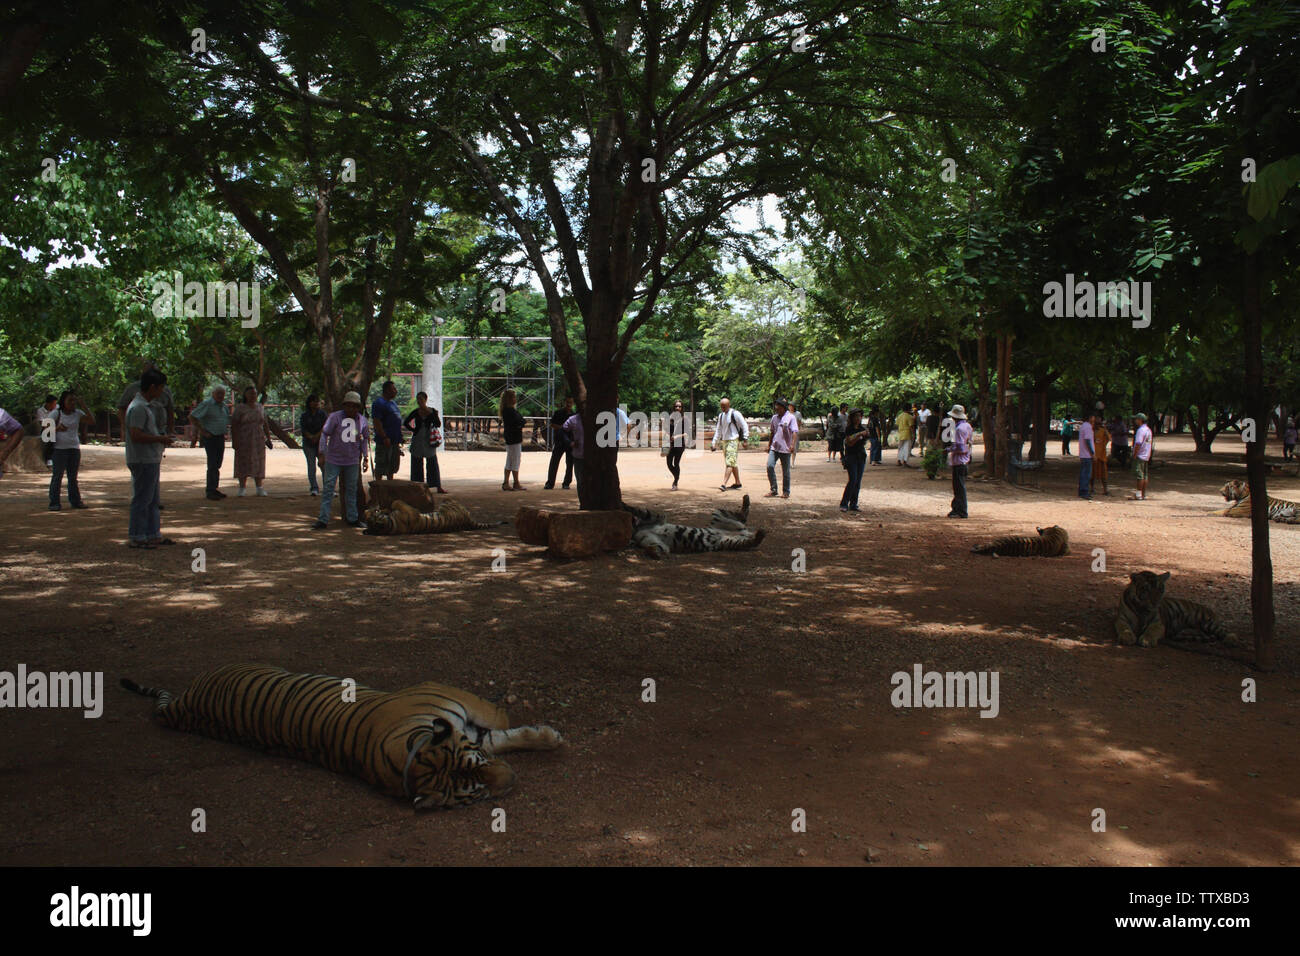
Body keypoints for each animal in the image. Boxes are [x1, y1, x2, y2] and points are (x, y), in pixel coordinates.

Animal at [121, 664, 562, 809]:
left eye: (478, 769)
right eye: (475, 794)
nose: (514, 783)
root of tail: (184, 708)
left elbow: (503, 728)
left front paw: (548, 737)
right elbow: (499, 724)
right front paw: (552, 735)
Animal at [363, 497, 500, 535]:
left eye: (374, 511)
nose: (366, 510)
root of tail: (468, 521)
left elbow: (393, 503)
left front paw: (386, 508)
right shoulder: (412, 511)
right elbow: (395, 501)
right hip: (449, 503)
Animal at [622, 494, 766, 558]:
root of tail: (744, 532)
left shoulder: (657, 518)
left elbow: (636, 510)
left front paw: (624, 505)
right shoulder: (656, 543)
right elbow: (653, 548)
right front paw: (655, 553)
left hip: (717, 515)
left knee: (742, 516)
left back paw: (746, 499)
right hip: (728, 541)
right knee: (749, 540)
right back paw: (759, 534)